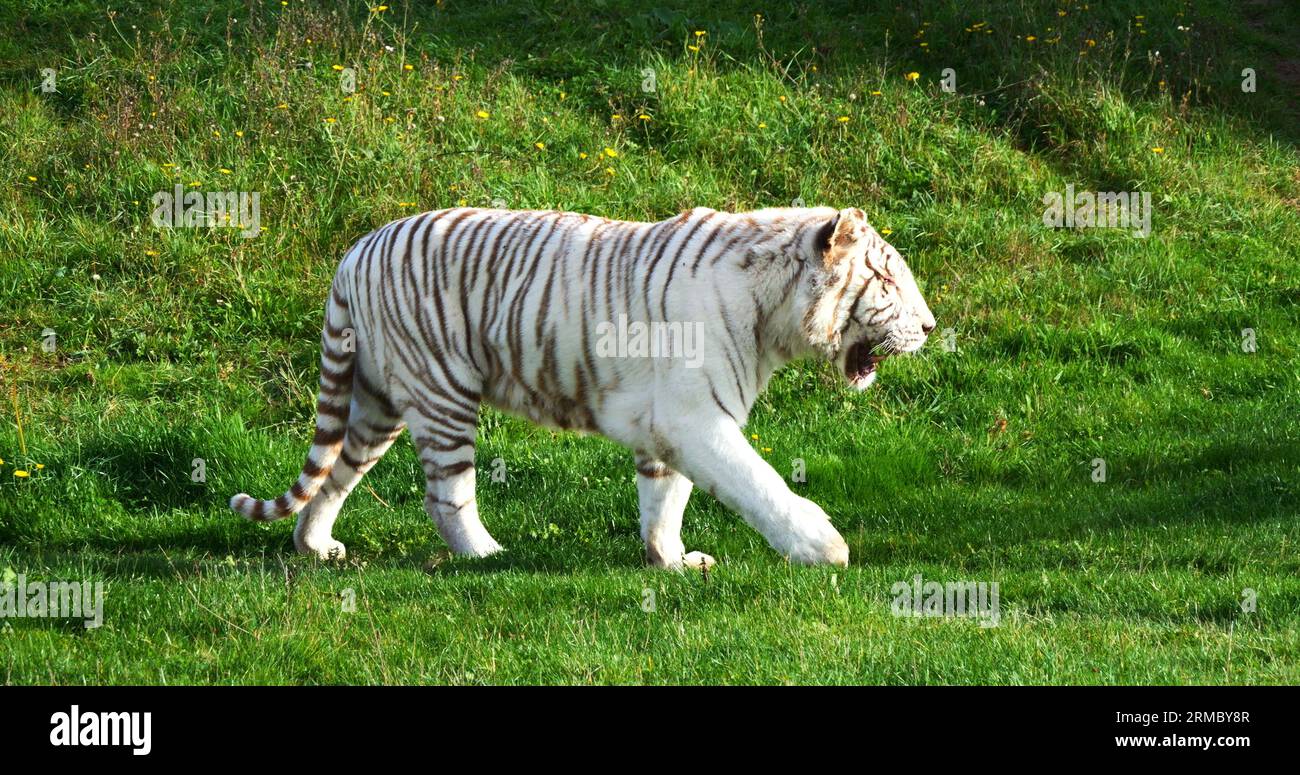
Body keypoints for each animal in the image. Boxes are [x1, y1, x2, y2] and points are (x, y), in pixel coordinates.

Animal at [230, 205, 935, 569]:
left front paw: (670, 561)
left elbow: (665, 501)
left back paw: (315, 546)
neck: (775, 317)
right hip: (442, 392)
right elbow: (758, 483)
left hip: (376, 403)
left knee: (335, 473)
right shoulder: (695, 417)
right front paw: (824, 548)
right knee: (446, 494)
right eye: (887, 280)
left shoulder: (666, 425)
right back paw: (488, 554)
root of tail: (355, 252)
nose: (930, 326)